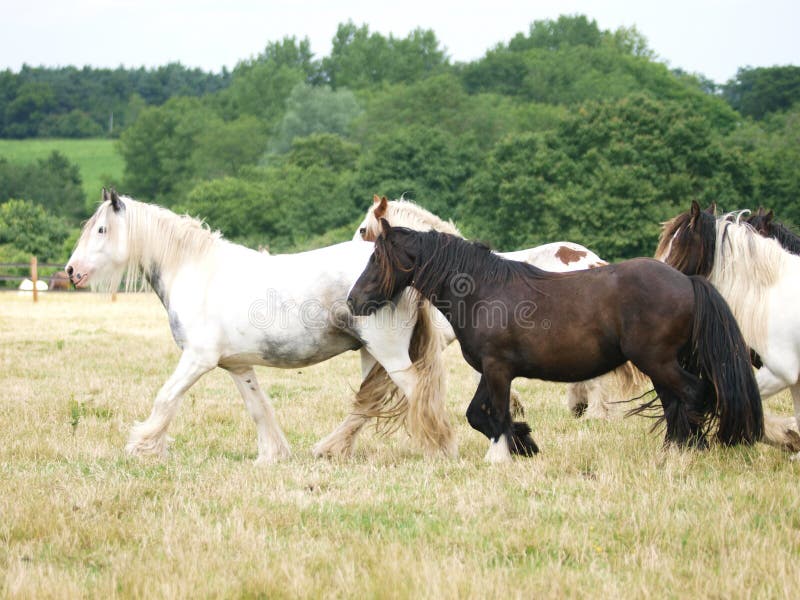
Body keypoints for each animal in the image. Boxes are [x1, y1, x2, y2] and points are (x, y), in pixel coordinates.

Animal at [65, 189, 455, 463]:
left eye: (101, 229)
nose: (71, 271)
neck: (196, 270)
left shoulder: (197, 359)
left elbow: (166, 398)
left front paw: (142, 446)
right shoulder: (238, 366)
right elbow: (258, 407)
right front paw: (272, 454)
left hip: (389, 354)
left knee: (418, 395)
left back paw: (440, 449)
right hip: (371, 356)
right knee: (367, 403)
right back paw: (330, 449)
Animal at [347, 220, 764, 462]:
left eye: (375, 259)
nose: (353, 301)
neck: (483, 290)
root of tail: (688, 281)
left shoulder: (498, 369)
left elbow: (496, 414)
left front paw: (503, 456)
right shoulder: (493, 369)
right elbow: (477, 414)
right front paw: (525, 443)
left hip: (658, 362)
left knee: (692, 394)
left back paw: (684, 452)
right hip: (662, 365)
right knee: (677, 400)